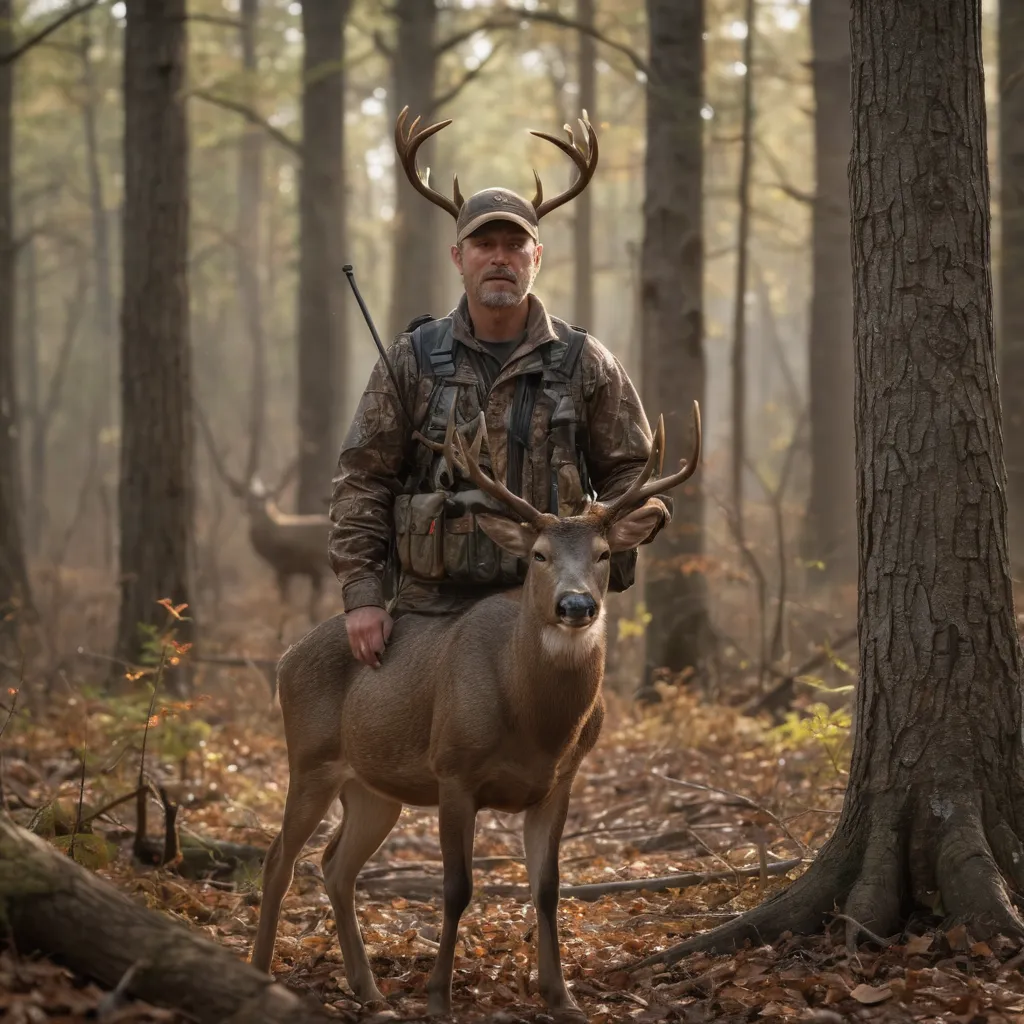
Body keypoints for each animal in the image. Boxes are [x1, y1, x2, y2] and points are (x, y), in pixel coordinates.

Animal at [249, 401, 701, 1018]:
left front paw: (562, 997)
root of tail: (285, 660)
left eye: (605, 554)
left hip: (374, 788)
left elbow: (548, 888)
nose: (576, 605)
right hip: (310, 759)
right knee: (279, 859)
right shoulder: (454, 770)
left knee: (336, 865)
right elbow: (457, 888)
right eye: (538, 555)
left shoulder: (559, 783)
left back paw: (370, 991)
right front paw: (439, 997)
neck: (535, 724)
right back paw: (260, 971)